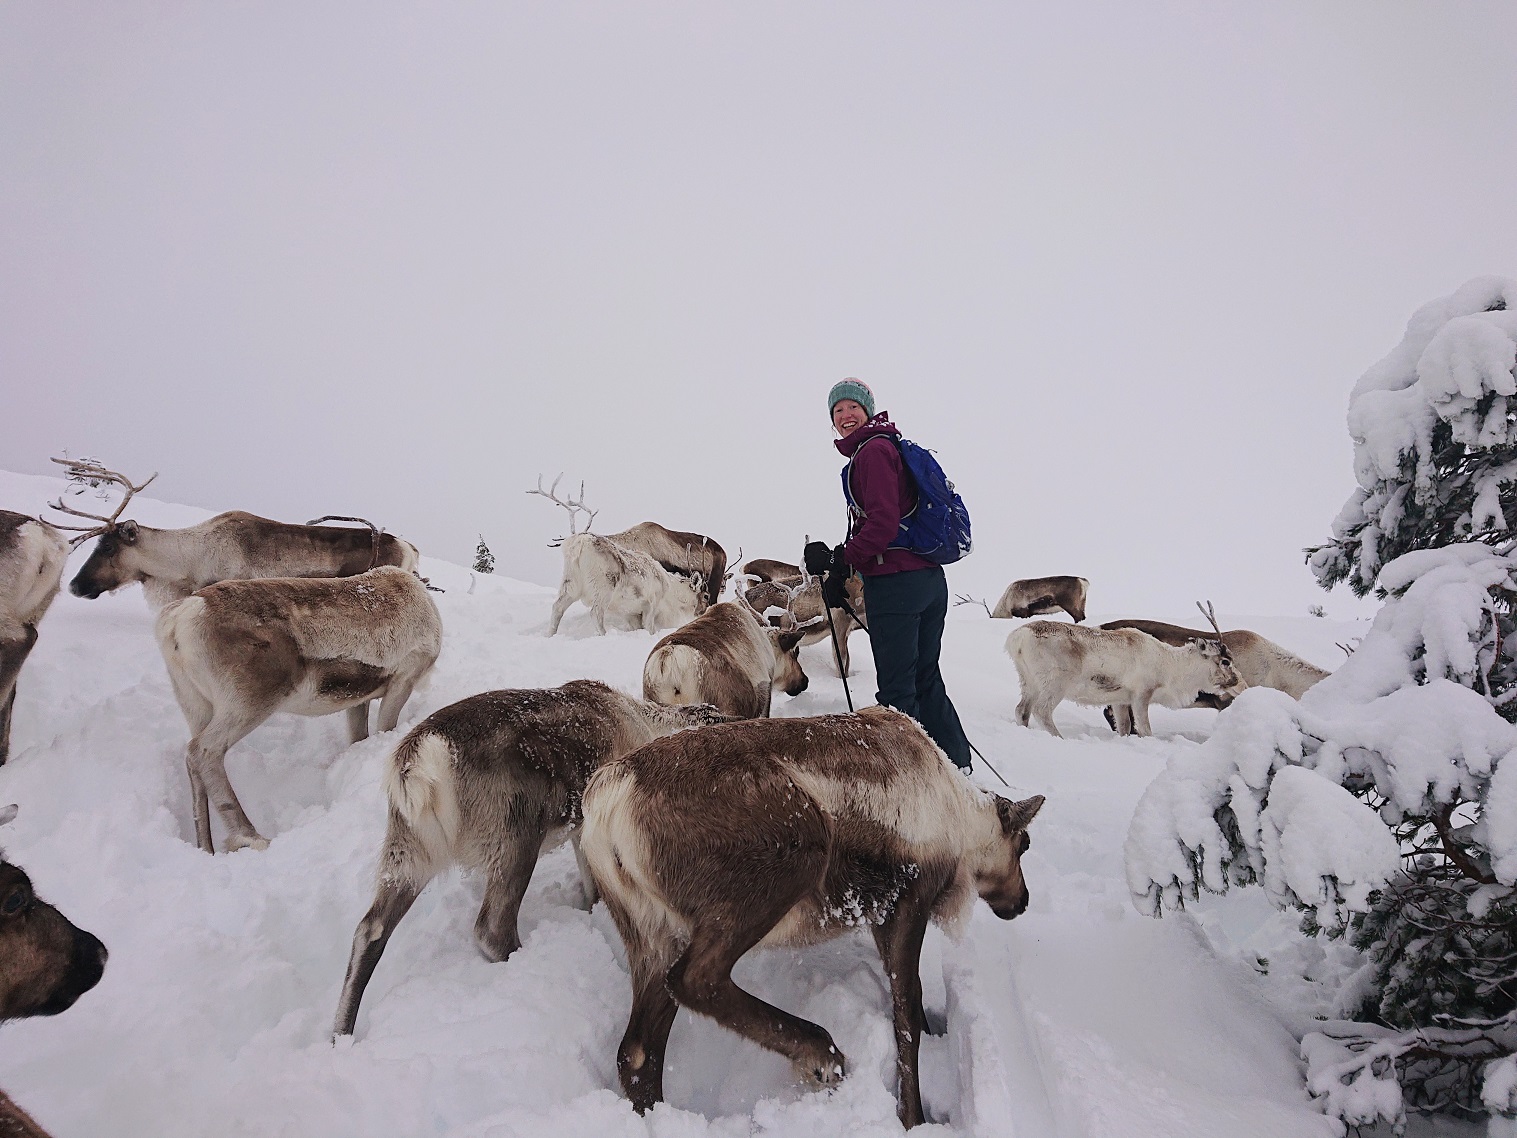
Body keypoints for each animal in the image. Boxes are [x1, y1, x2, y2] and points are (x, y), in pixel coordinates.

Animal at [155, 566, 442, 853]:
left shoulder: (358, 699)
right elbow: (386, 728)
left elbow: (358, 737)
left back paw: (206, 845)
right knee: (203, 751)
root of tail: (179, 618)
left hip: (195, 704)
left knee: (193, 761)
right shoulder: (403, 681)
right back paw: (251, 837)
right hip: (248, 703)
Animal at [332, 681, 730, 1038]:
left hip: (409, 852)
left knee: (370, 931)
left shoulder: (581, 830)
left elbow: (590, 887)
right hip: (513, 841)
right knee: (491, 928)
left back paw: (340, 1032)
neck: (645, 723)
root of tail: (418, 760)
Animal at [580, 707, 1045, 1128]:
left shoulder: (881, 914)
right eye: (1023, 844)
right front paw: (913, 1117)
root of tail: (609, 796)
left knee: (637, 1050)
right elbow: (907, 1012)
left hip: (654, 932)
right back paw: (822, 1054)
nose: (1022, 901)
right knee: (695, 978)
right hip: (793, 858)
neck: (960, 815)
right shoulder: (910, 898)